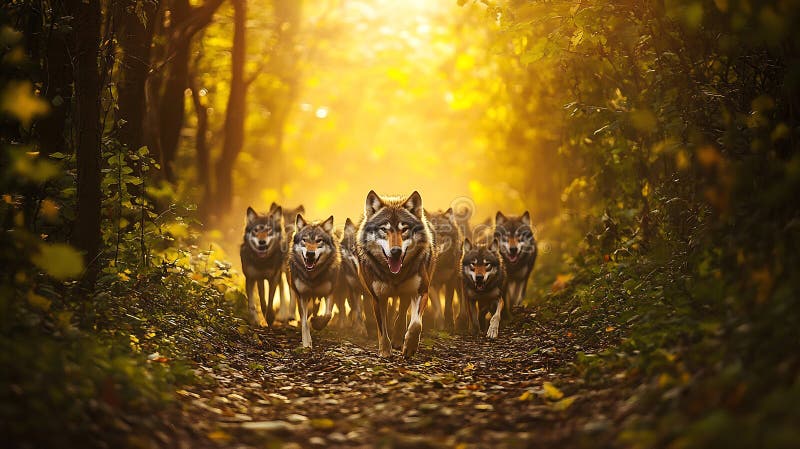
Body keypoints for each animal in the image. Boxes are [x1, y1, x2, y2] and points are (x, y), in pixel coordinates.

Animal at [287, 214, 341, 348]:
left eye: (318, 241)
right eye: (304, 240)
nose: (310, 254)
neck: (312, 276)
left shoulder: (329, 293)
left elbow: (328, 314)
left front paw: (317, 324)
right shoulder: (302, 295)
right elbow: (304, 322)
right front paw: (307, 343)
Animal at [356, 191, 436, 358]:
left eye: (404, 229)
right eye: (384, 229)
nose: (396, 251)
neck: (394, 275)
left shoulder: (422, 291)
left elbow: (416, 324)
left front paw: (410, 346)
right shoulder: (378, 297)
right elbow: (382, 328)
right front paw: (385, 351)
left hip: (407, 292)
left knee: (402, 312)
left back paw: (399, 339)